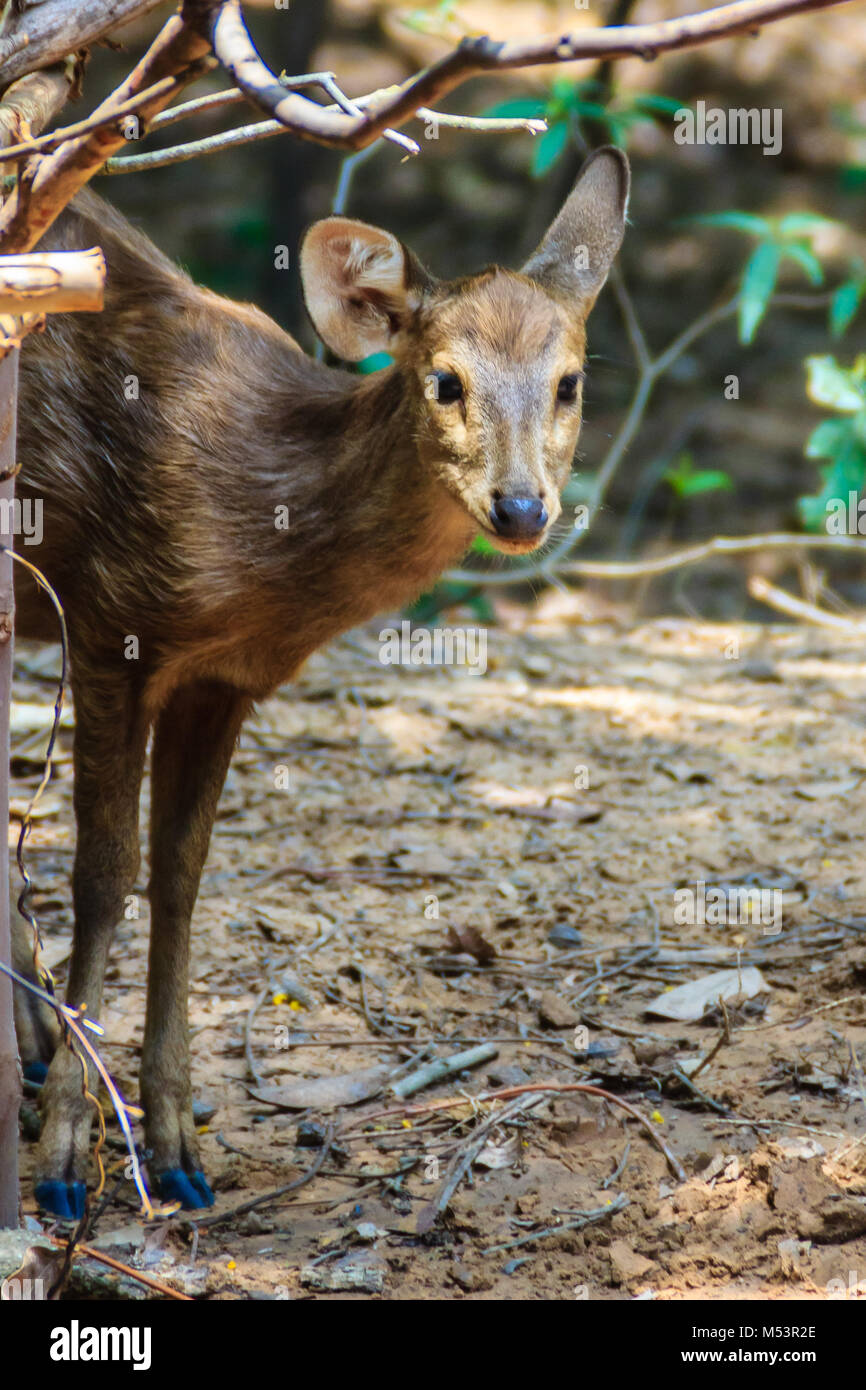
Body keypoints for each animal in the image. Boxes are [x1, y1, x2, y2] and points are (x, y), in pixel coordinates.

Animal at [10, 146, 629, 1217]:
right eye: (444, 380)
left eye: (569, 382)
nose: (520, 508)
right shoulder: (108, 617)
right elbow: (101, 876)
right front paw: (65, 1166)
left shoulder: (225, 679)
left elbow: (180, 875)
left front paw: (176, 1145)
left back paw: (41, 1055)